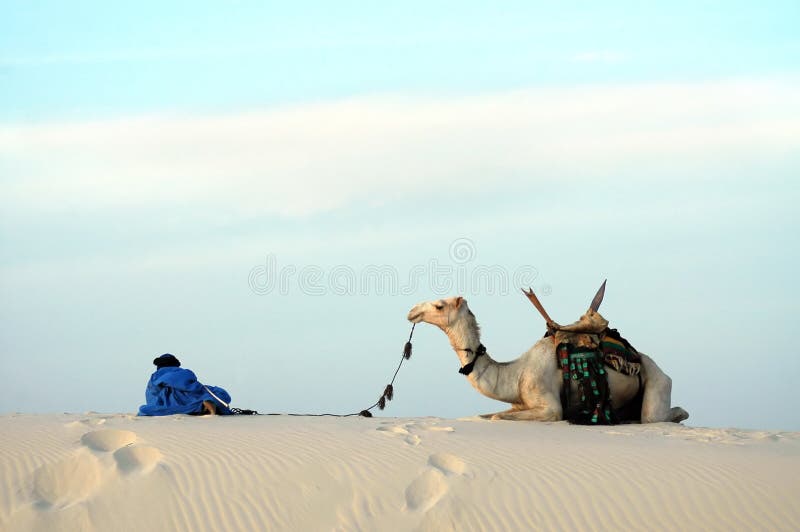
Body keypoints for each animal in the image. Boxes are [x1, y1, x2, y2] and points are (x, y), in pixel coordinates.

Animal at [406, 294, 689, 423]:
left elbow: (500, 418)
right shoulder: (517, 404)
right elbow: (486, 416)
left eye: (439, 305)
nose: (412, 311)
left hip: (657, 383)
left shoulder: (550, 406)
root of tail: (663, 372)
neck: (516, 373)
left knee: (660, 415)